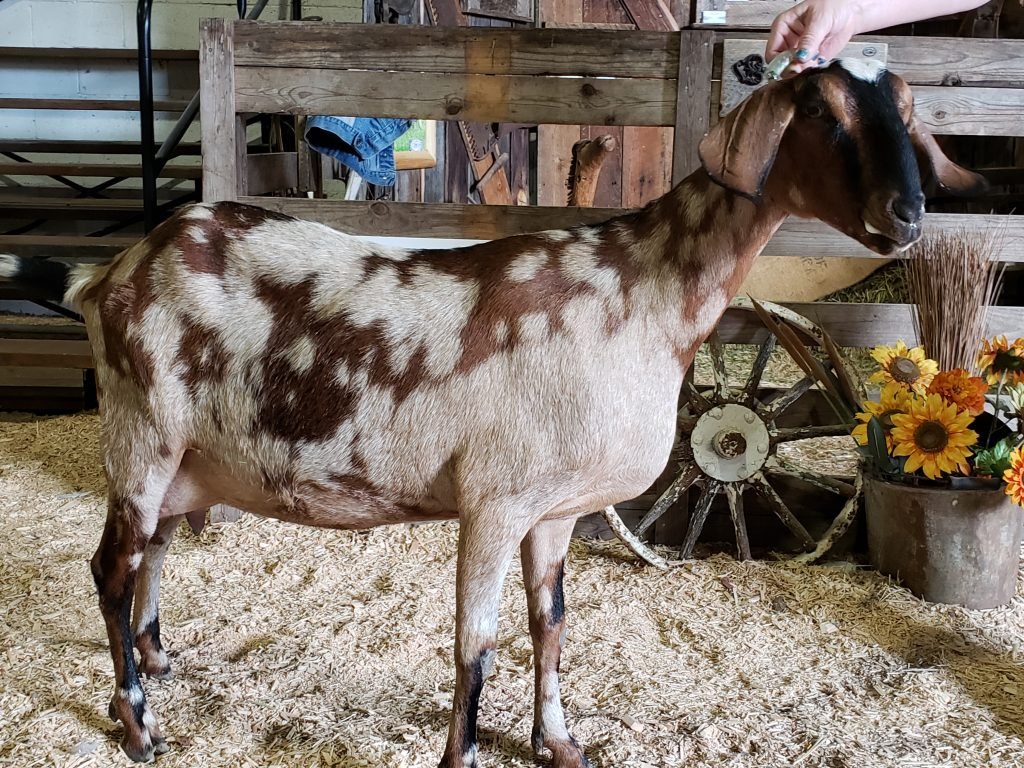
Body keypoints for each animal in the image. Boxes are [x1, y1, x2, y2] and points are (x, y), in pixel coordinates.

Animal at [0, 60, 984, 767]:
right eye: (822, 113)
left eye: (906, 112)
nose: (908, 215)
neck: (639, 294)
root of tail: (109, 275)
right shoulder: (494, 499)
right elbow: (475, 642)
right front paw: (463, 755)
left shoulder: (555, 508)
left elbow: (551, 625)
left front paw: (560, 743)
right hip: (140, 436)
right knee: (111, 569)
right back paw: (138, 725)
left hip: (183, 459)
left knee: (156, 551)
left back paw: (159, 663)